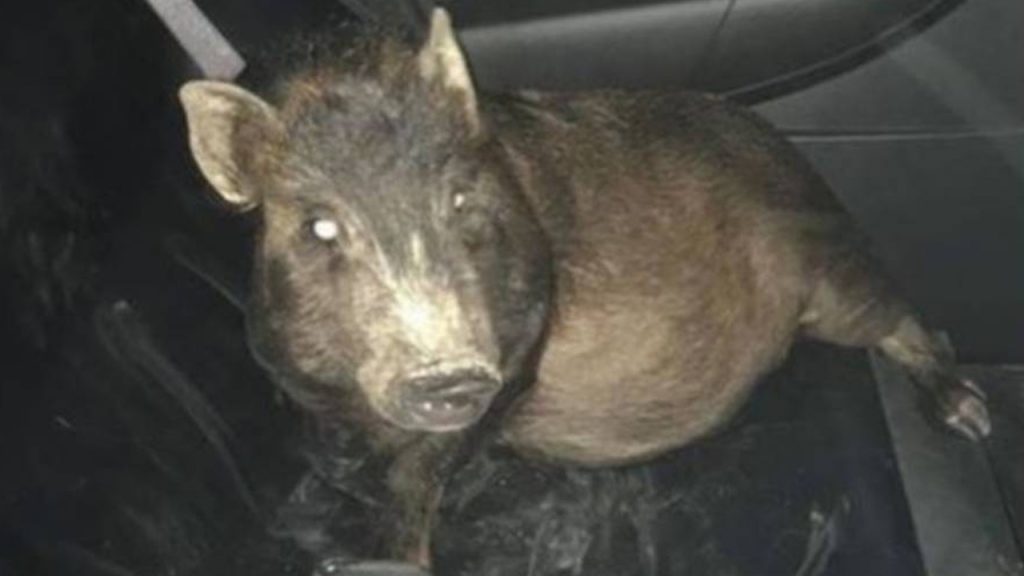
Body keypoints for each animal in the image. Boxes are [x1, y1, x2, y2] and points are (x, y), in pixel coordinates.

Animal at [177, 8, 990, 575]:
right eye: (318, 226)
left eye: (463, 199)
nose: (448, 372)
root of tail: (793, 156)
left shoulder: (519, 342)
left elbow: (422, 473)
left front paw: (395, 551)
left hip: (832, 272)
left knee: (910, 321)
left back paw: (972, 419)